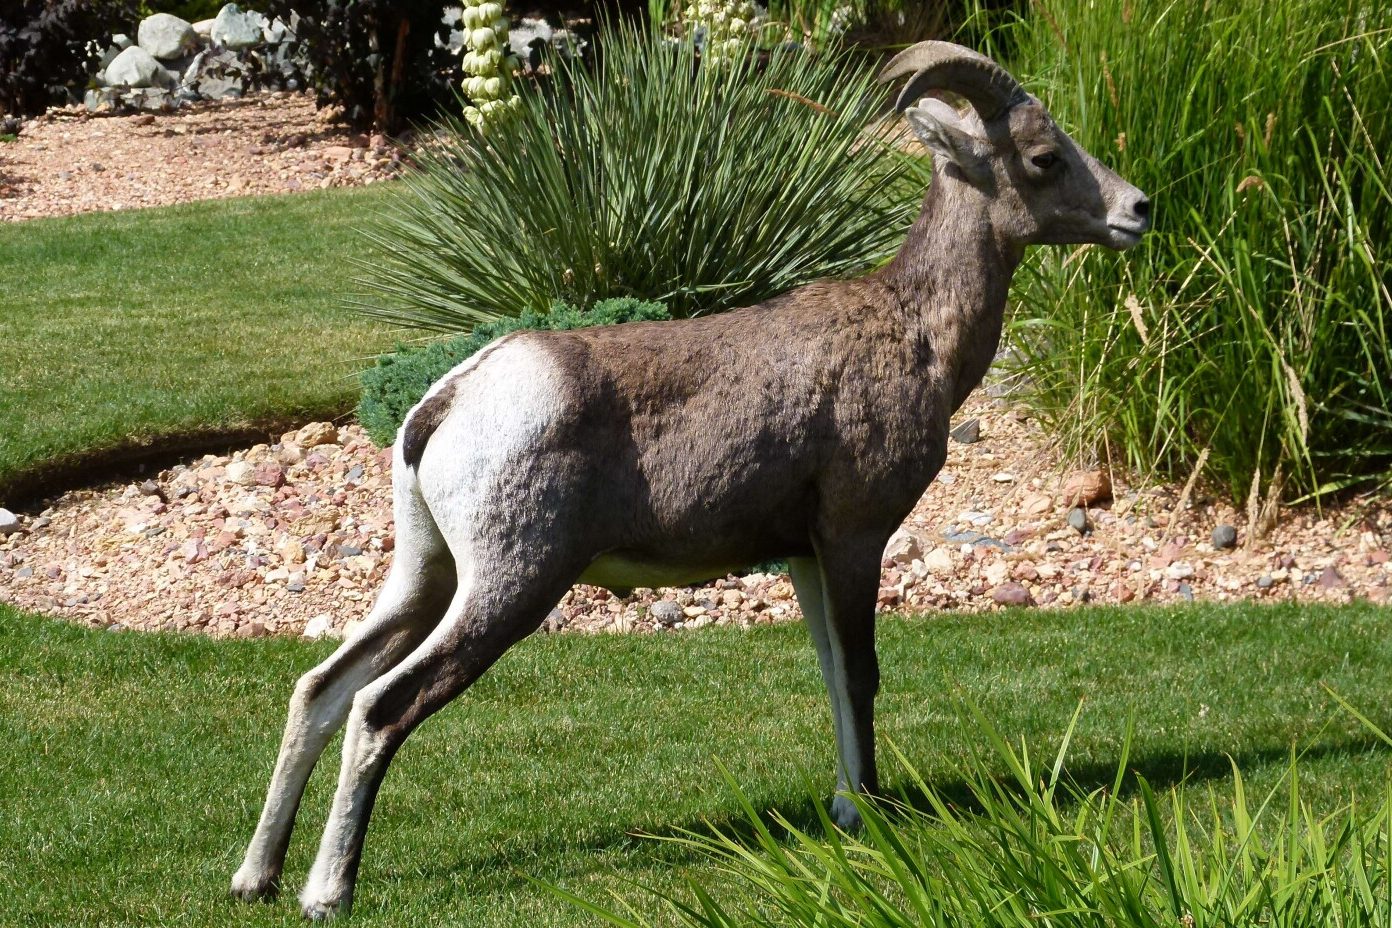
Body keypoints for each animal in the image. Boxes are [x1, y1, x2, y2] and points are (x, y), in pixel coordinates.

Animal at [231, 40, 1151, 919]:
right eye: (1042, 157)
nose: (1137, 210)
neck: (913, 332)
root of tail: (448, 403)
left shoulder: (804, 555)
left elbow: (828, 669)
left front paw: (844, 809)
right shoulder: (854, 538)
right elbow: (861, 671)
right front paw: (872, 813)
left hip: (427, 575)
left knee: (320, 689)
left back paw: (256, 879)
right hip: (510, 584)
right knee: (381, 705)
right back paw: (326, 892)